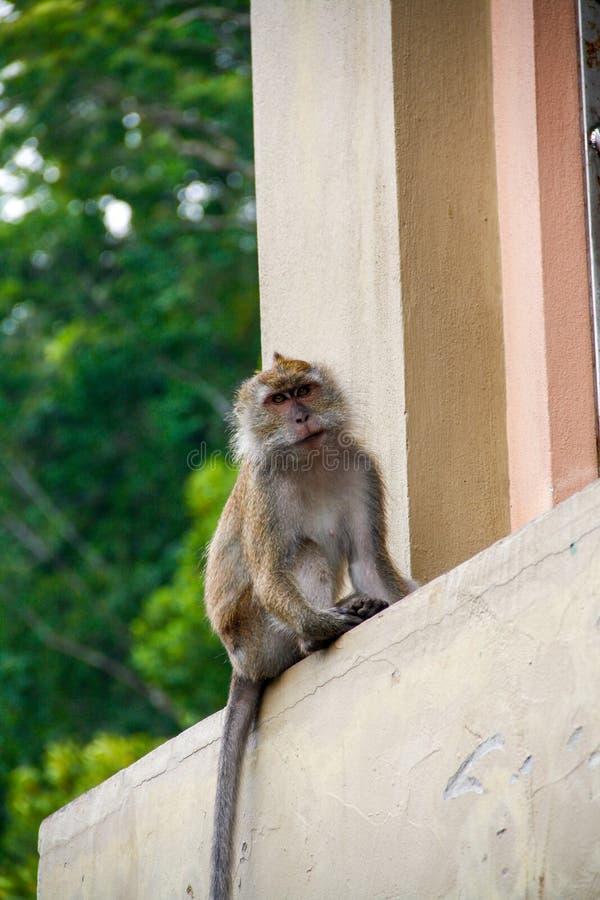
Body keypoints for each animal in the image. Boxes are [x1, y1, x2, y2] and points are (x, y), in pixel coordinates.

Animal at [204, 352, 417, 900]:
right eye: (279, 400)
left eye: (304, 391)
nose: (301, 417)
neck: (308, 458)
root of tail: (241, 664)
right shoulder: (263, 490)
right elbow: (270, 574)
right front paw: (324, 625)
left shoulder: (362, 468)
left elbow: (369, 563)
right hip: (257, 636)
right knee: (305, 552)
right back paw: (313, 636)